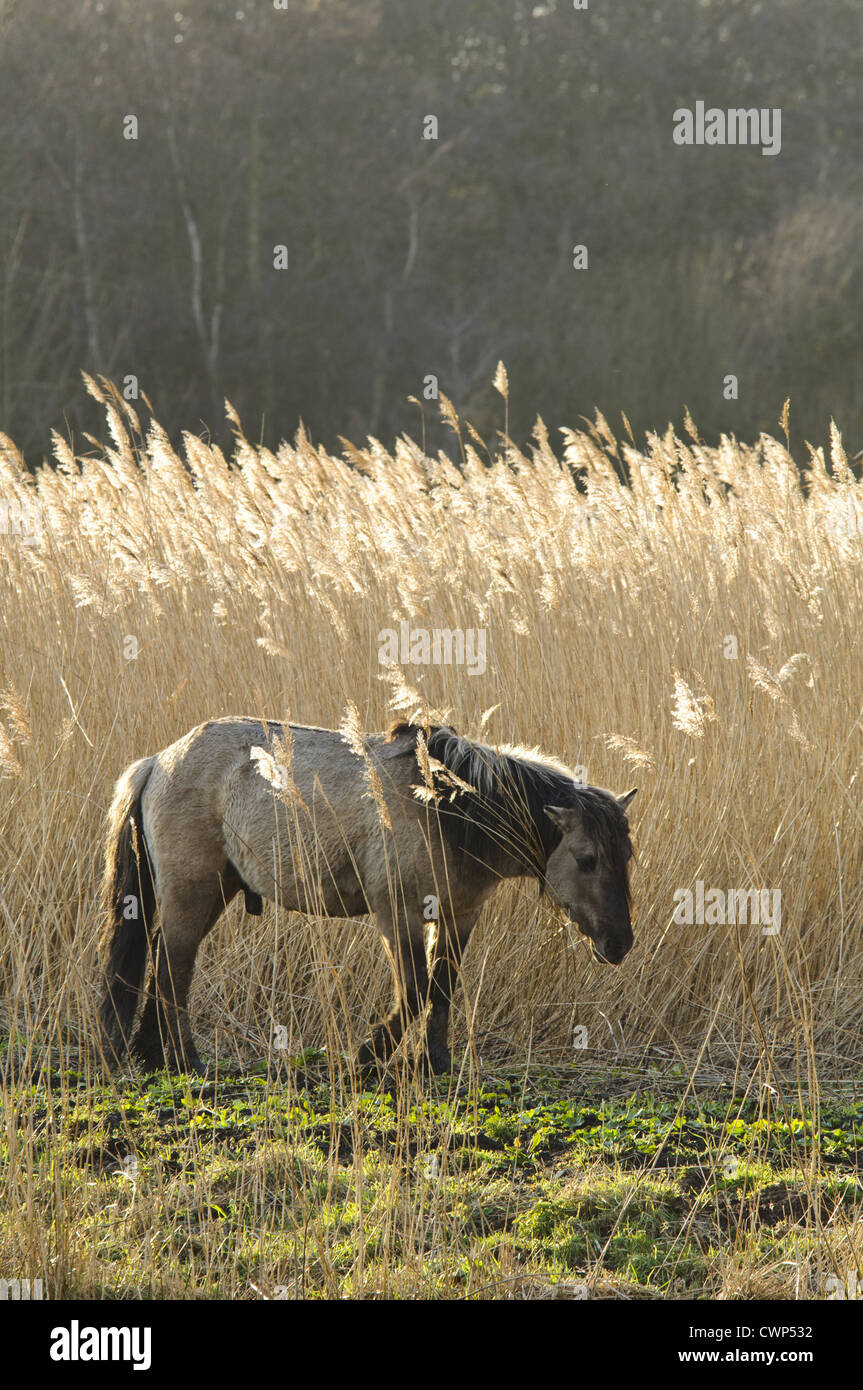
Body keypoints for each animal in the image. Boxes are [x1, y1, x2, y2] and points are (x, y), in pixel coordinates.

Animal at [97, 716, 637, 1075]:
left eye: (626, 856)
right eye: (587, 859)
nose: (620, 944)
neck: (445, 807)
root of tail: (158, 762)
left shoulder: (459, 917)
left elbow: (442, 990)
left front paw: (435, 1063)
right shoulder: (397, 915)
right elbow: (415, 992)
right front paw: (367, 1056)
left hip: (209, 894)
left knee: (162, 963)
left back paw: (150, 1054)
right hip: (192, 894)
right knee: (173, 971)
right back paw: (187, 1061)